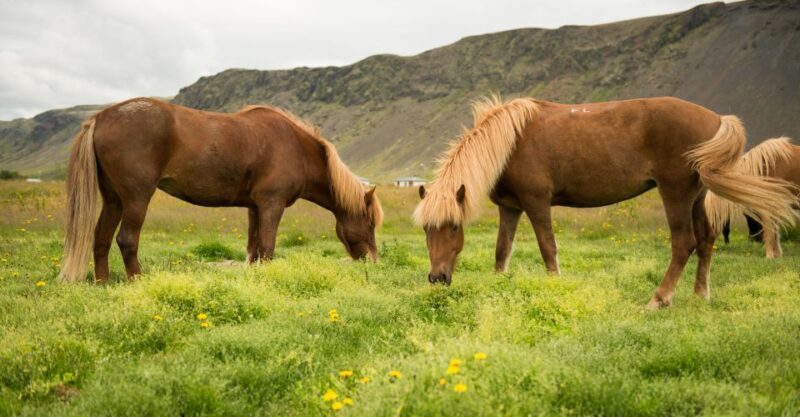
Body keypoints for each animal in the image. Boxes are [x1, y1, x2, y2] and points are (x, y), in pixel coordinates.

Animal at [59, 98, 383, 283]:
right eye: (369, 223)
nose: (374, 262)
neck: (296, 148)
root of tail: (101, 117)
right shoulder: (272, 205)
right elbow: (267, 248)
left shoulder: (255, 208)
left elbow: (254, 250)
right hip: (137, 198)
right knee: (126, 239)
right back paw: (137, 281)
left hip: (113, 199)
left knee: (100, 238)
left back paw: (103, 283)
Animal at [414, 95, 797, 309]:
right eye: (426, 230)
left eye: (453, 227)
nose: (437, 279)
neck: (511, 140)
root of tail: (716, 119)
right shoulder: (510, 207)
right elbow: (501, 251)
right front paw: (498, 285)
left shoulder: (537, 204)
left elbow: (547, 249)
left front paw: (555, 287)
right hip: (697, 196)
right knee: (705, 241)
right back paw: (700, 295)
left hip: (674, 193)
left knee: (683, 244)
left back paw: (659, 299)